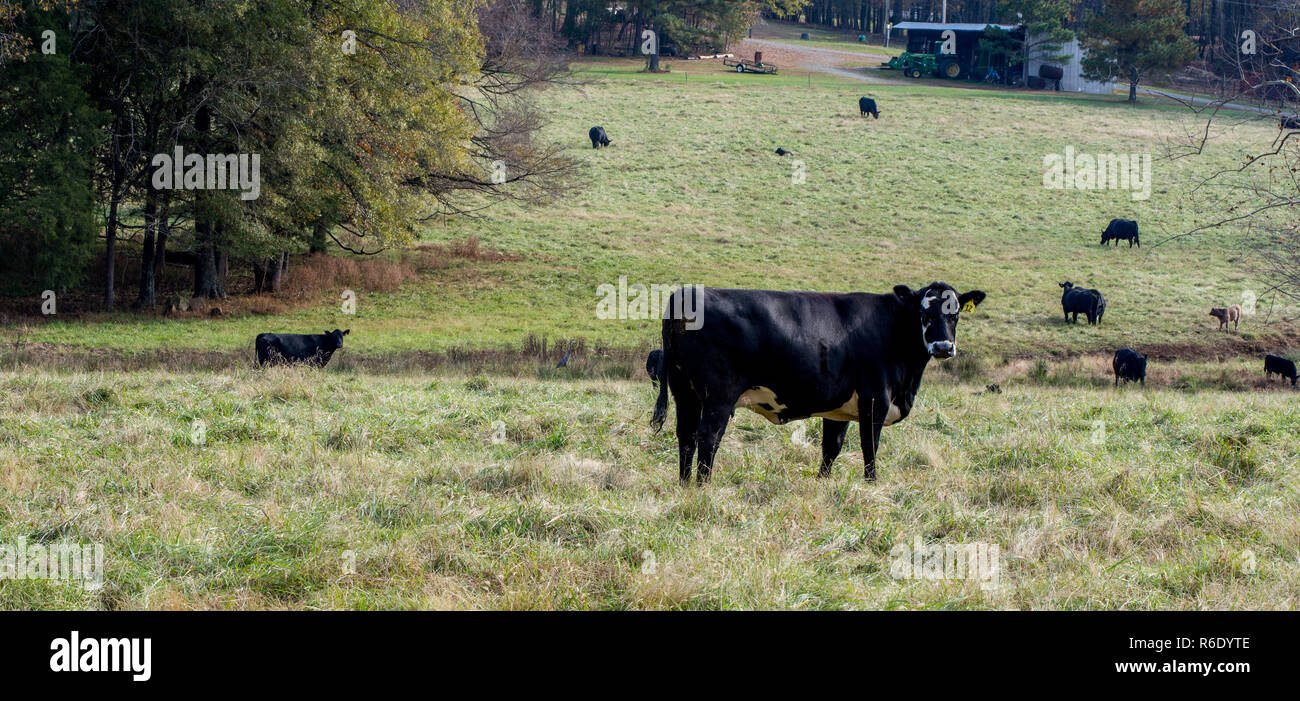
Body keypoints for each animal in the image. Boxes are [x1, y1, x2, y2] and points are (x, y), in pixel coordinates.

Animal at [650, 282, 987, 484]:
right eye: (923, 311)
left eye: (955, 313)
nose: (943, 346)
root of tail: (685, 293)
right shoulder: (875, 400)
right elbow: (870, 447)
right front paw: (872, 484)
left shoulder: (838, 409)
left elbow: (831, 448)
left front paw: (823, 483)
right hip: (718, 396)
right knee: (708, 437)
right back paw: (703, 486)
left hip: (685, 392)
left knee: (686, 436)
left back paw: (684, 484)